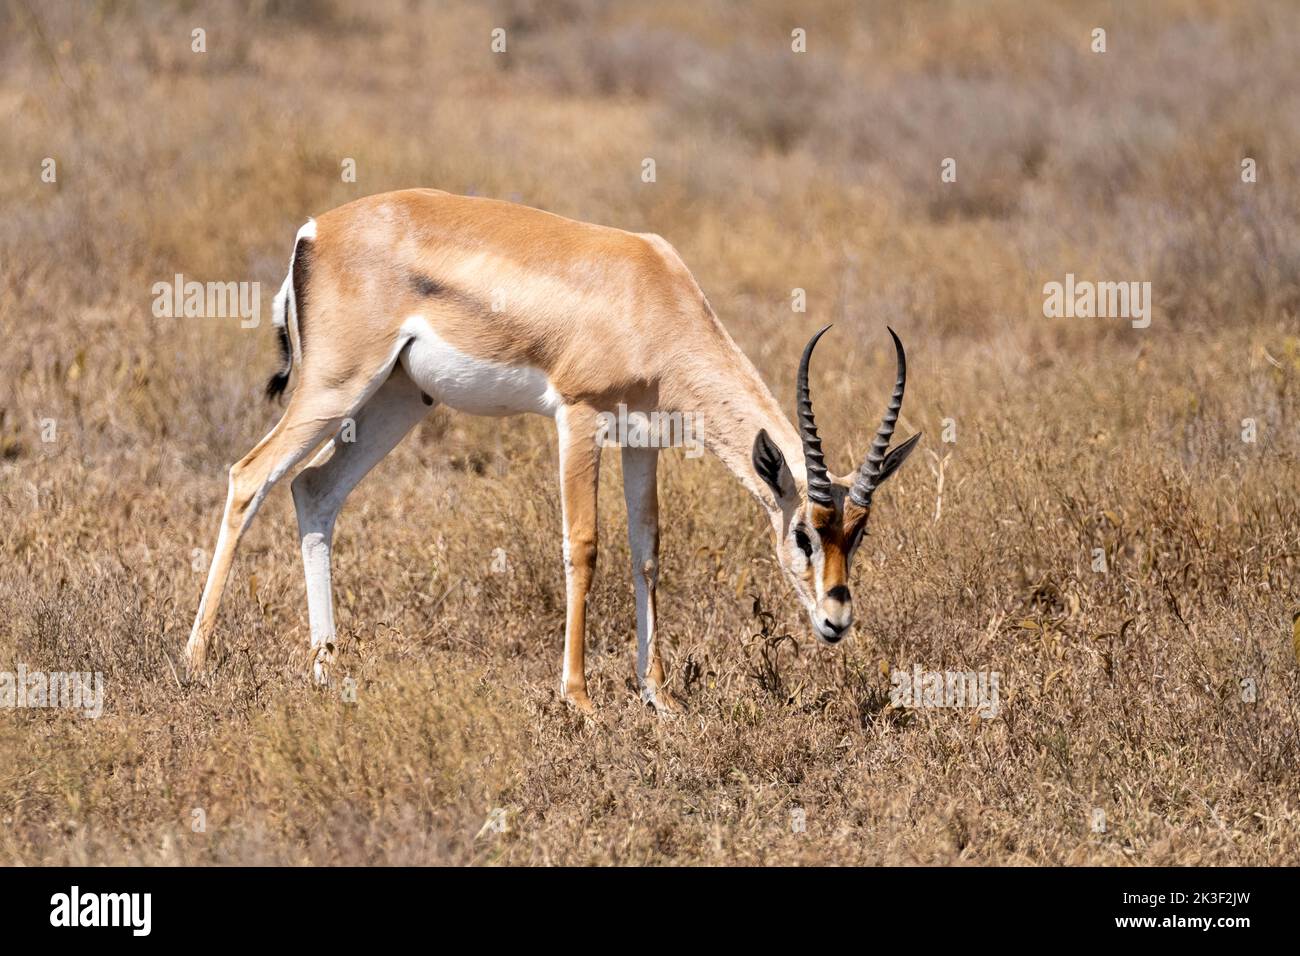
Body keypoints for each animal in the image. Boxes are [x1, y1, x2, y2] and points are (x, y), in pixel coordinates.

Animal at [185, 189, 920, 714]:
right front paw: (580, 699)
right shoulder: (578, 418)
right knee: (249, 475)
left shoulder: (640, 440)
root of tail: (314, 231)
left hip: (397, 398)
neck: (654, 297)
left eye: (858, 535)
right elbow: (585, 546)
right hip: (335, 387)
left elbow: (648, 553)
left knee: (313, 489)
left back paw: (326, 667)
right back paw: (195, 661)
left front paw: (660, 698)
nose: (836, 619)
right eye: (803, 534)